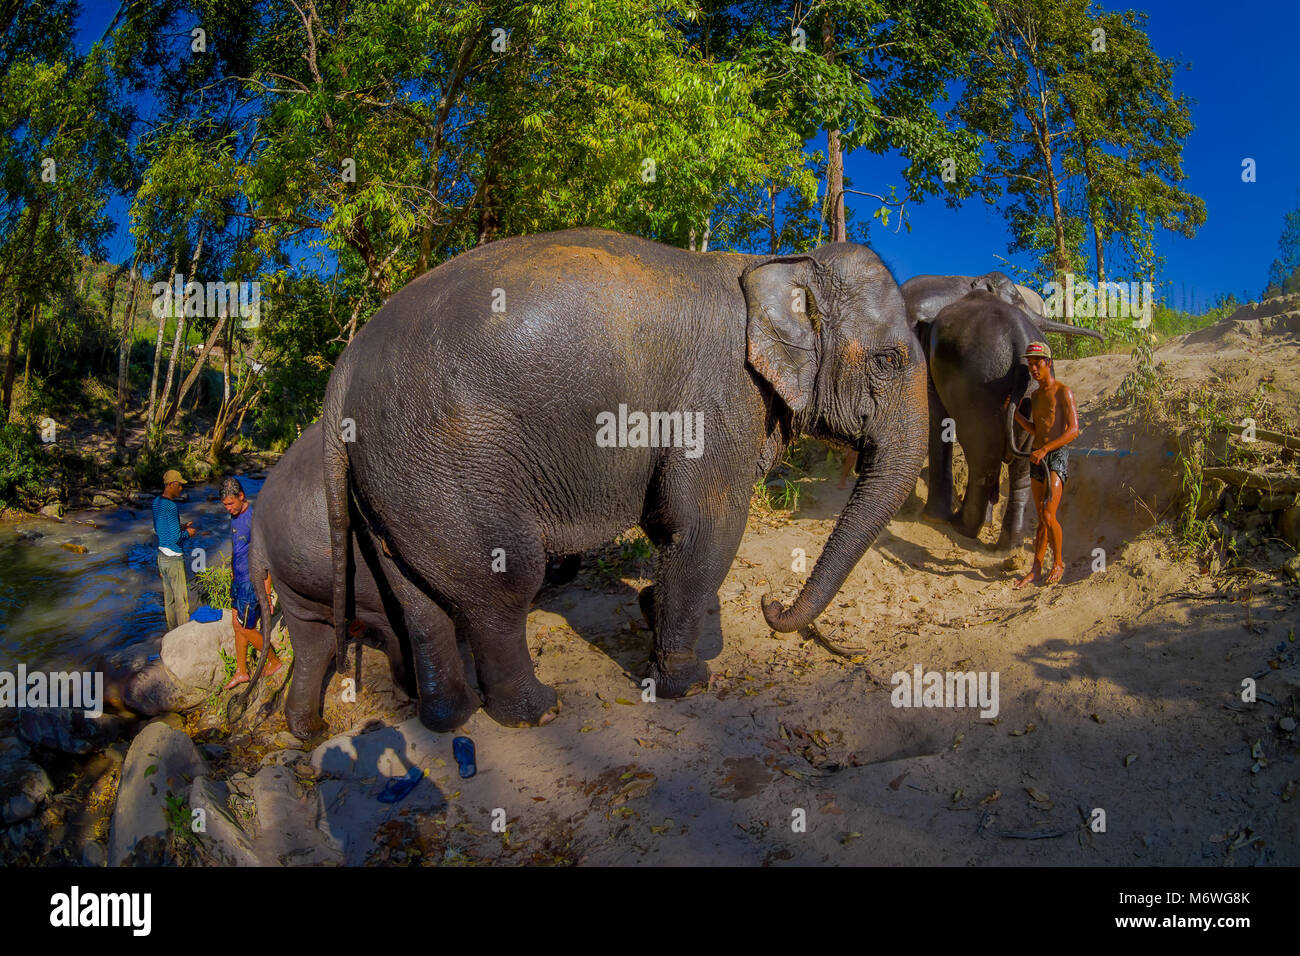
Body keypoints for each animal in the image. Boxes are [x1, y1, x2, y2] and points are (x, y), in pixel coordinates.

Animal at [323, 227, 929, 730]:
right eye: (887, 361)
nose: (771, 605)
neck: (770, 266)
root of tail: (340, 379)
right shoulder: (718, 398)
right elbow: (704, 523)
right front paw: (687, 683)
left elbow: (668, 524)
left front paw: (654, 612)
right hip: (443, 466)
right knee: (504, 583)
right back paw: (537, 712)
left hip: (390, 487)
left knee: (417, 600)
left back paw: (450, 720)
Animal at [922, 290, 1047, 549]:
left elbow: (939, 421)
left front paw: (932, 519)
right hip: (1033, 393)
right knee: (1020, 468)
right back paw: (1008, 546)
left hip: (979, 388)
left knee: (982, 460)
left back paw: (962, 527)